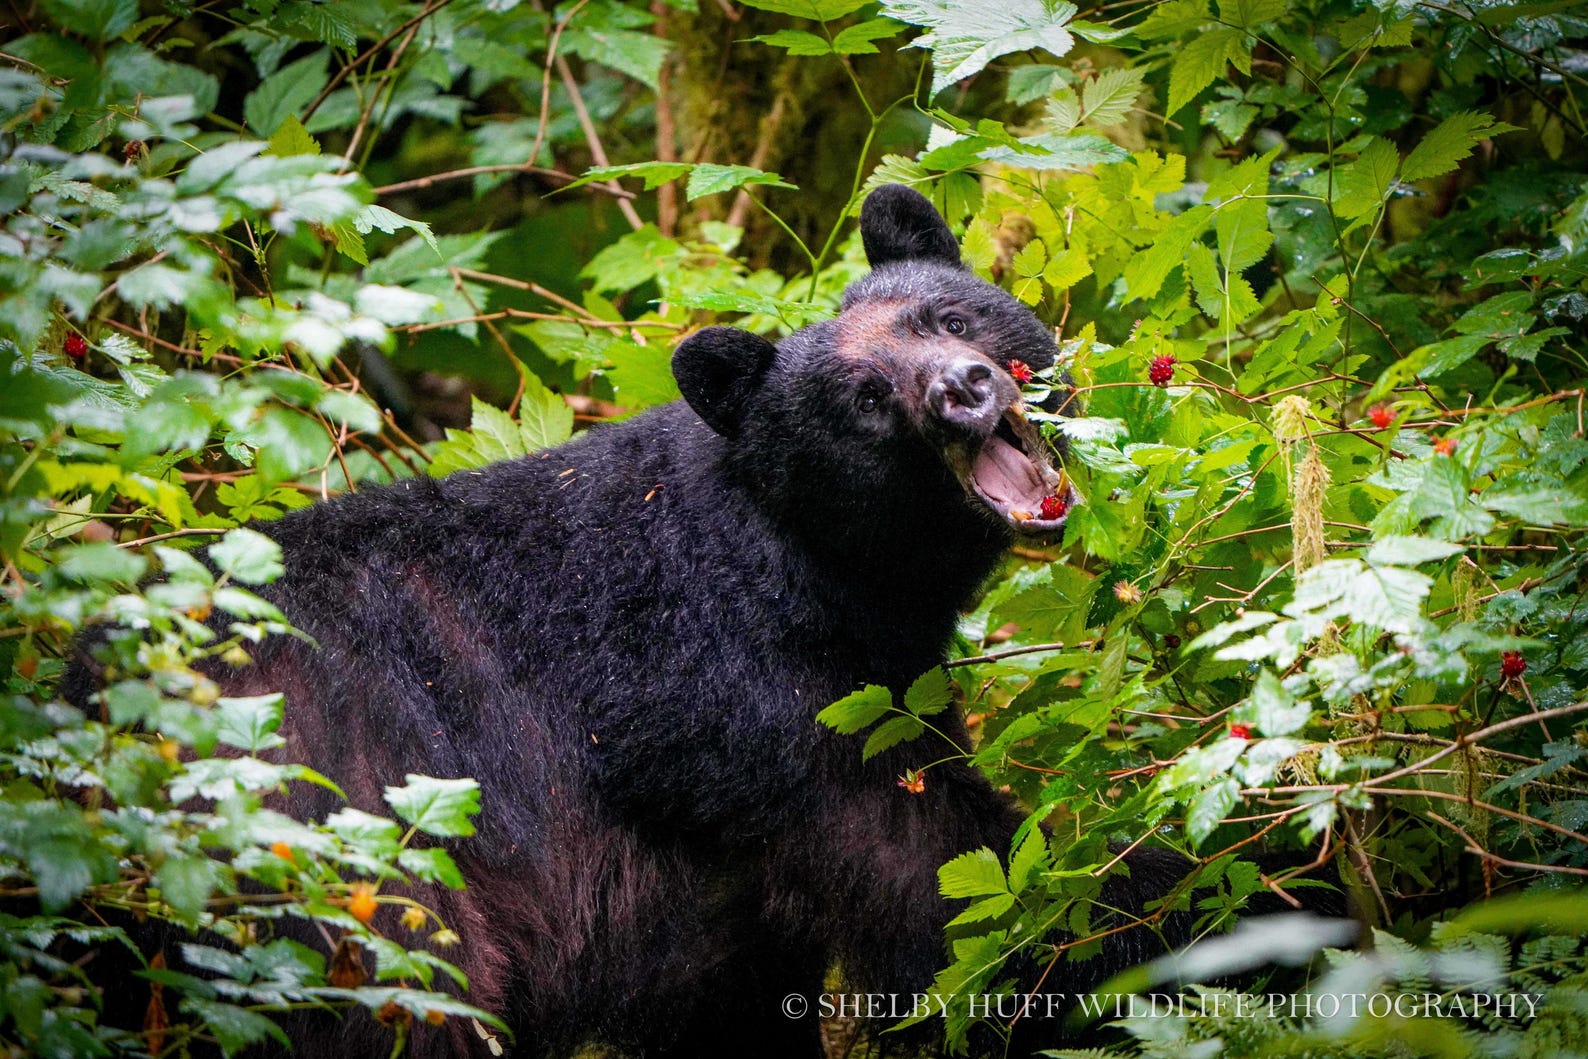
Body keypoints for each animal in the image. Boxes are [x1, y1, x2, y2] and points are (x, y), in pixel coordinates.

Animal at [74, 184, 1196, 1058]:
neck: (809, 562)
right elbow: (950, 885)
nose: (962, 391)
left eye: (948, 318)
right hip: (345, 857)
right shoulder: (751, 705)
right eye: (867, 399)